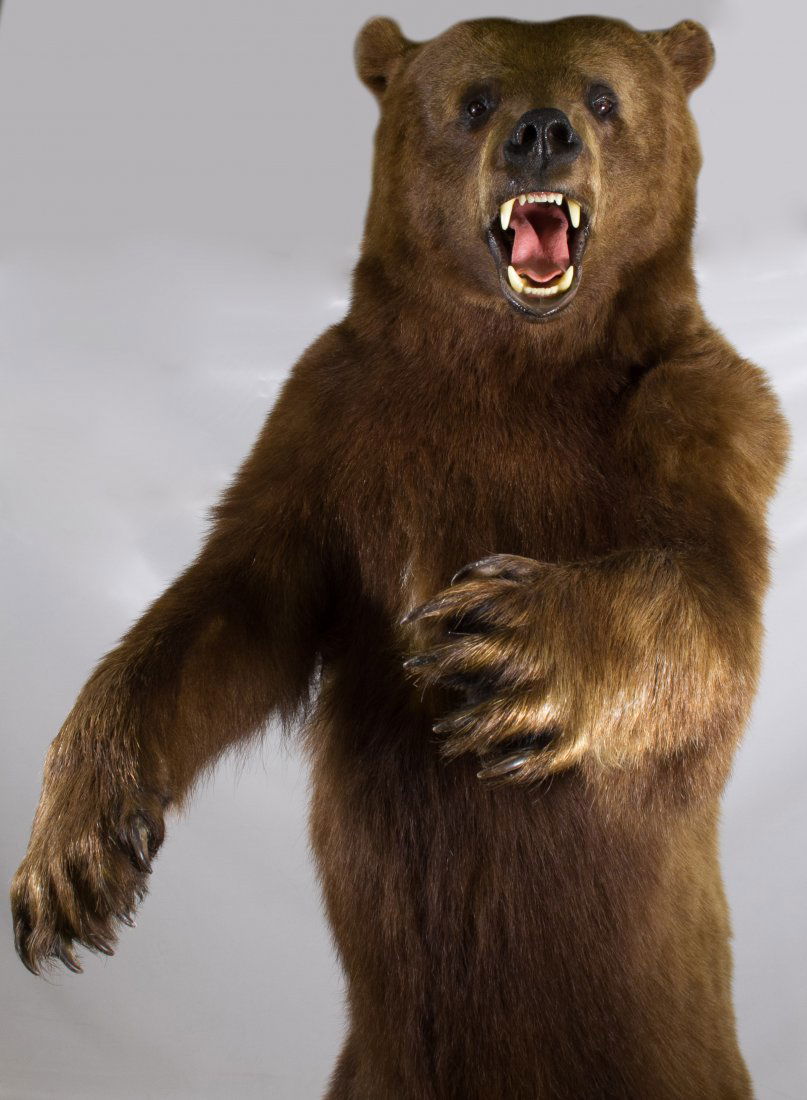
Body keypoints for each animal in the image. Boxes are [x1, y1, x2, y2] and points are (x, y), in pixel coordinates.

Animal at [11, 13, 789, 1099]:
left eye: (602, 95)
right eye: (474, 98)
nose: (541, 132)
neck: (516, 364)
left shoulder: (698, 414)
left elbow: (707, 604)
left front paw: (505, 644)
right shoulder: (335, 431)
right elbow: (226, 612)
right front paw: (72, 856)